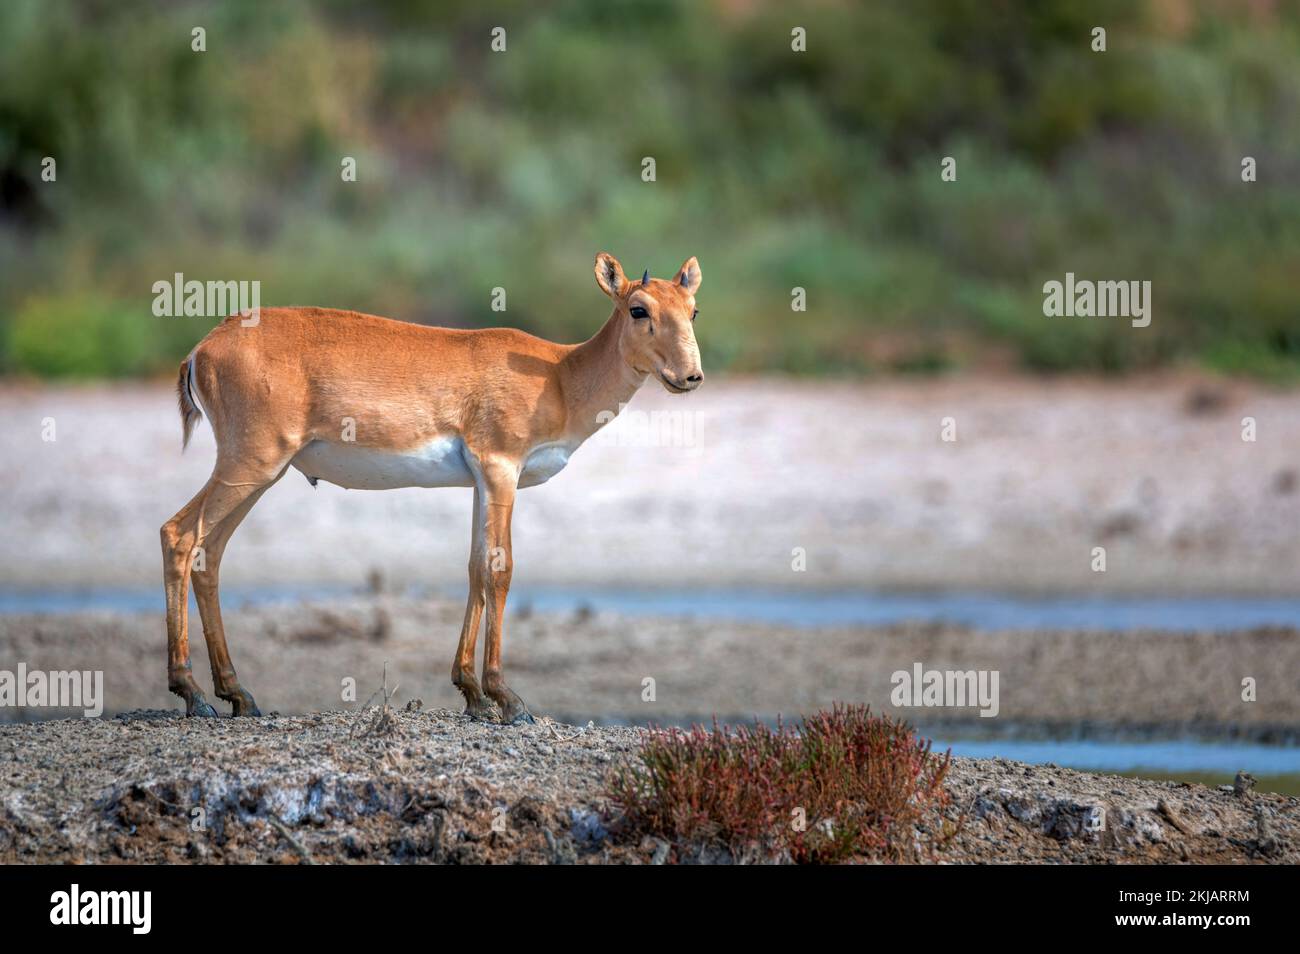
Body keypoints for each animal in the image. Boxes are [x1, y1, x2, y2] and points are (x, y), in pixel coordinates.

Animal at [162, 252, 703, 724]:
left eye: (691, 309)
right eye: (638, 308)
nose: (690, 376)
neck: (558, 374)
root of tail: (202, 349)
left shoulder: (481, 483)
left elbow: (475, 569)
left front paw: (473, 694)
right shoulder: (501, 468)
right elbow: (501, 570)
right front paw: (508, 699)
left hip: (260, 475)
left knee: (210, 553)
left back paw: (238, 694)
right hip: (249, 466)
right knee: (180, 536)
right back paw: (192, 693)